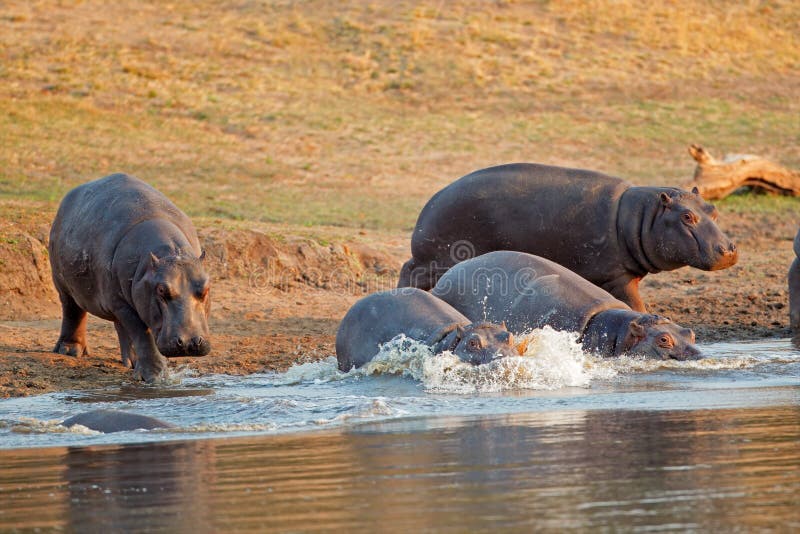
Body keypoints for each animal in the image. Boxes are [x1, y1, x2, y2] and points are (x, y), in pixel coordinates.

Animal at [49, 173, 211, 382]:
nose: (190, 342)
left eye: (206, 288)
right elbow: (143, 336)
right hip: (65, 285)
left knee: (120, 328)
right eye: (161, 290)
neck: (170, 254)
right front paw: (156, 378)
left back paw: (130, 363)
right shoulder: (122, 304)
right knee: (73, 311)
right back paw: (69, 351)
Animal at [398, 163, 738, 311]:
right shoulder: (618, 277)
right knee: (409, 272)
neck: (642, 216)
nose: (729, 250)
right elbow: (635, 306)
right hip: (436, 260)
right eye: (686, 217)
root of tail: (432, 201)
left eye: (713, 209)